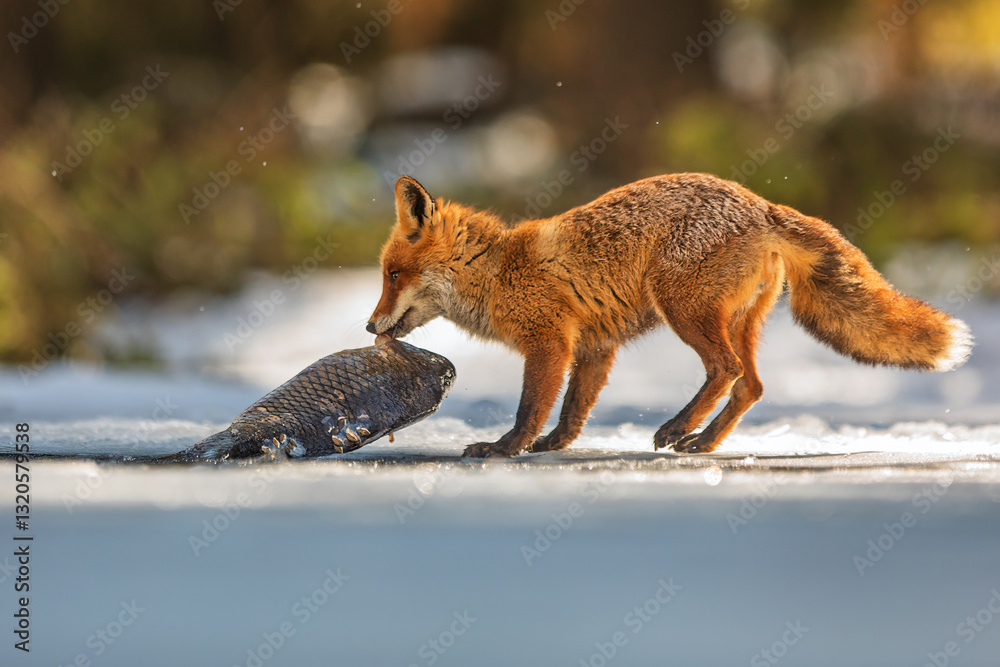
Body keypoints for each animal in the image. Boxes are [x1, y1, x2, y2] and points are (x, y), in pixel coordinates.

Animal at [366, 173, 973, 458]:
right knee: (751, 385)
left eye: (392, 275)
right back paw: (703, 442)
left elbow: (530, 408)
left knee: (725, 370)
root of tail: (762, 204)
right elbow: (574, 410)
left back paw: (680, 428)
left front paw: (502, 448)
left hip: (685, 310)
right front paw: (556, 445)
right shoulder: (594, 346)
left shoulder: (550, 343)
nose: (370, 327)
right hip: (738, 322)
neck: (496, 272)